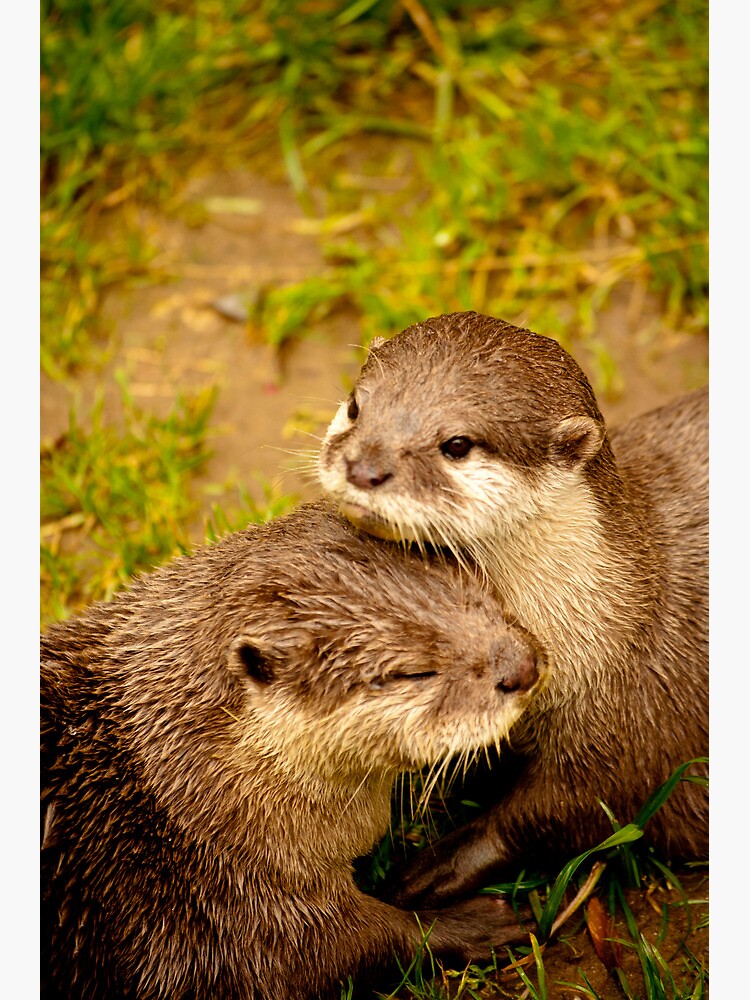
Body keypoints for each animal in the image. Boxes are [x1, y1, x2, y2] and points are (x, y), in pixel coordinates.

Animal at [41, 500, 545, 999]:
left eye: (477, 594)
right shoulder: (219, 907)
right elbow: (335, 951)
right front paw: (474, 923)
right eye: (414, 673)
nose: (520, 667)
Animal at [317, 311, 708, 907]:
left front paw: (430, 868)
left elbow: (567, 811)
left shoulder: (634, 723)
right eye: (357, 405)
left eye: (457, 444)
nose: (364, 467)